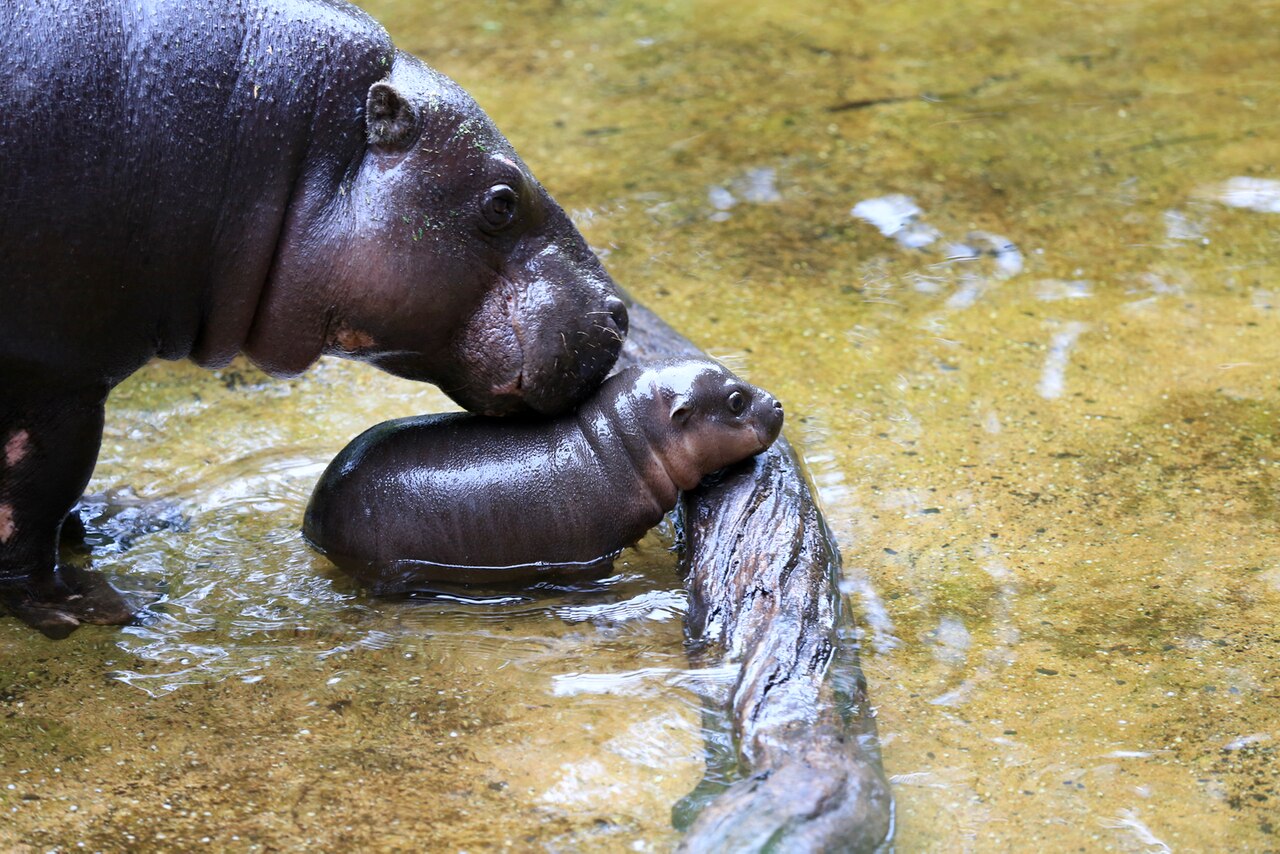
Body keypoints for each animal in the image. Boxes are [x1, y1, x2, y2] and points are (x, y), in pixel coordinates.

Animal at [0, 0, 628, 637]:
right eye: (501, 202)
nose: (620, 311)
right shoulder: (55, 380)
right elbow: (33, 501)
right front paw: (86, 607)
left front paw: (112, 521)